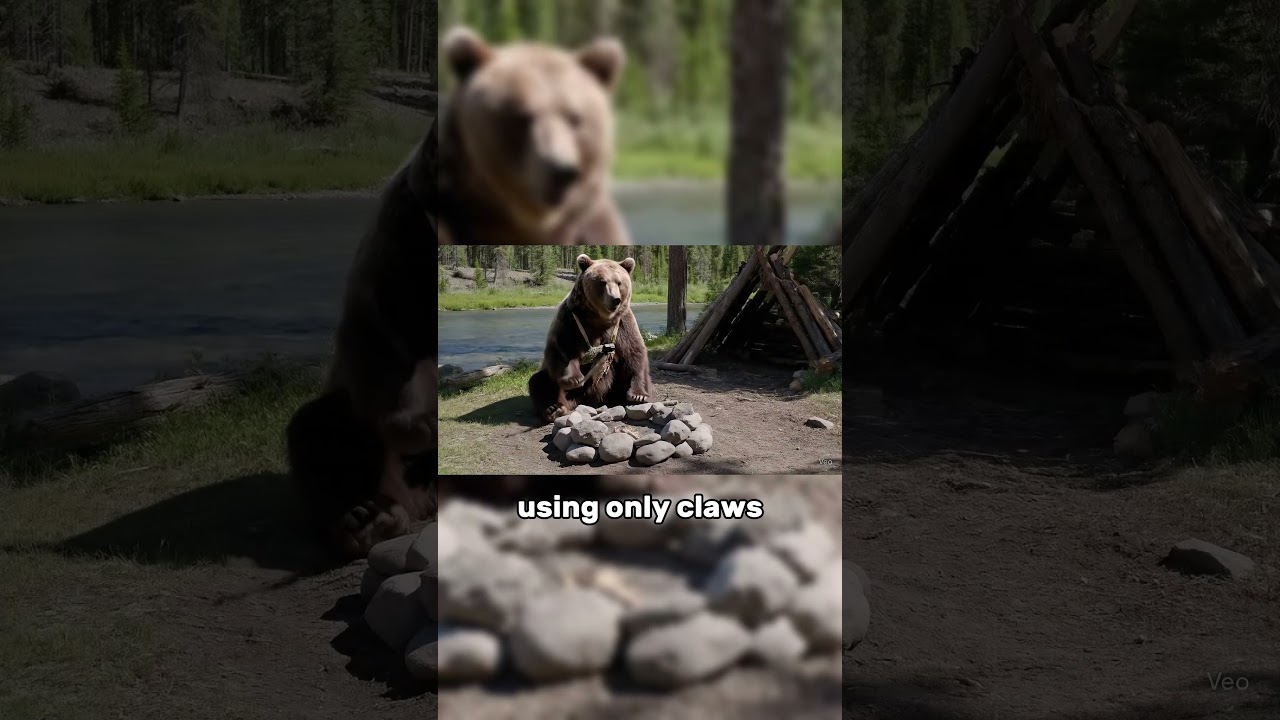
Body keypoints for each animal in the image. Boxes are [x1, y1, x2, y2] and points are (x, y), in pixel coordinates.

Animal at [528, 254, 654, 424]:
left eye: (619, 282)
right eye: (603, 282)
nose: (615, 299)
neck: (600, 319)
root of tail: (590, 401)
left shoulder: (623, 324)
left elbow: (634, 353)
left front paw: (638, 395)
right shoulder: (571, 319)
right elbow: (562, 348)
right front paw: (573, 379)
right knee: (540, 382)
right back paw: (554, 409)